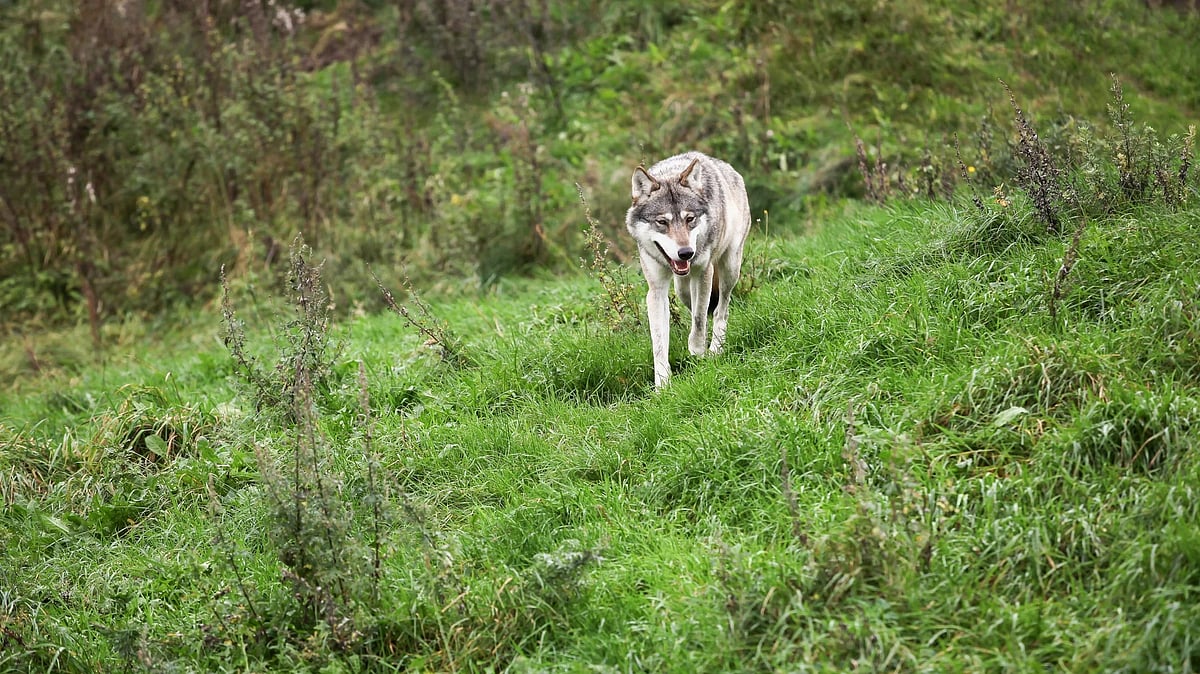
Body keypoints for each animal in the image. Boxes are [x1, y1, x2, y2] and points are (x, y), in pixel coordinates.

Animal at [625, 151, 751, 388]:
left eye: (689, 219)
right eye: (662, 222)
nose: (686, 253)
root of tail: (729, 168)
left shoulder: (703, 273)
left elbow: (700, 320)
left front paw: (698, 351)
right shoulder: (656, 291)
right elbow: (659, 342)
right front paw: (662, 385)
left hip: (729, 268)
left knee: (721, 310)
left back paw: (716, 349)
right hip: (681, 288)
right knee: (697, 304)